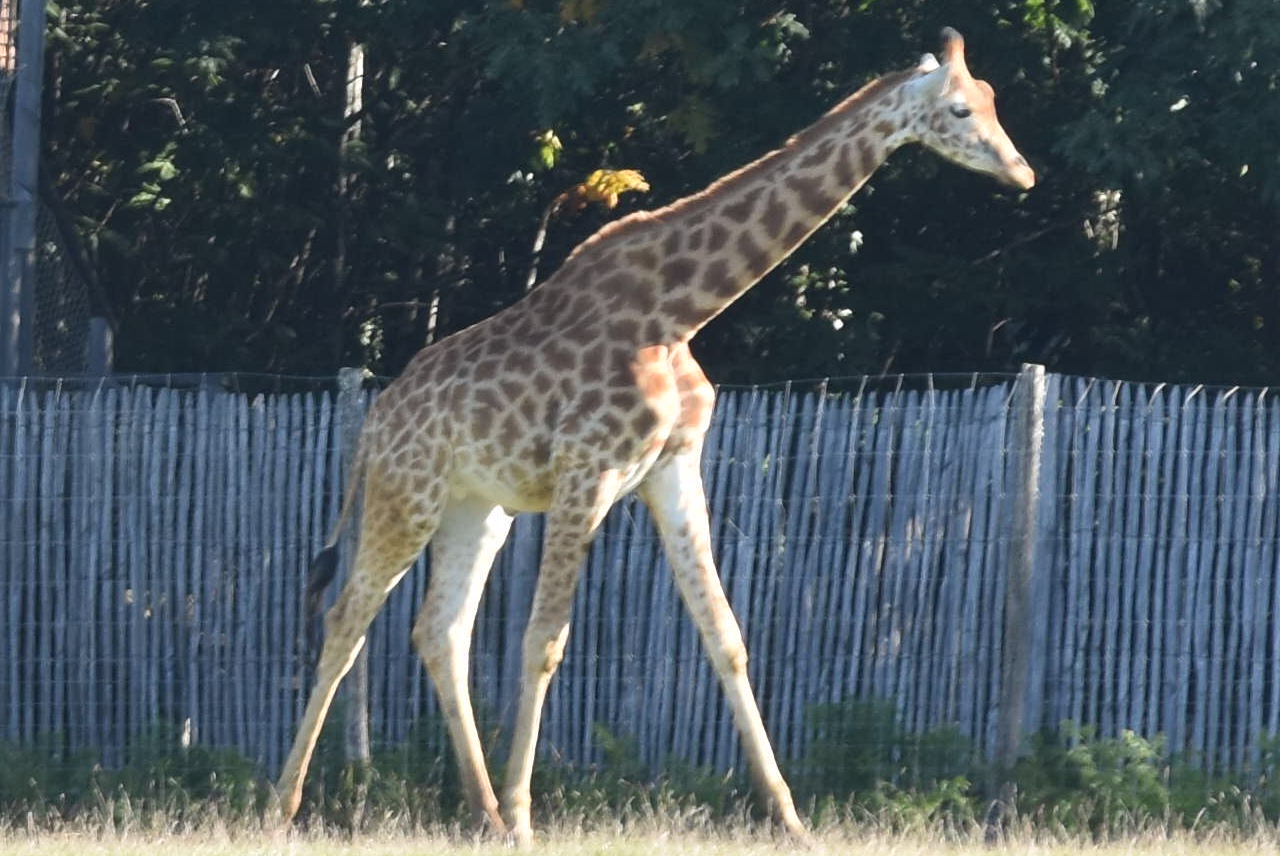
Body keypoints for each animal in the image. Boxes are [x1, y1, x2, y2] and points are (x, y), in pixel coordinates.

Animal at [275, 27, 1034, 844]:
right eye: (960, 110)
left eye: (993, 100)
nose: (1021, 171)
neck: (680, 310)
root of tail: (374, 424)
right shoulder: (588, 471)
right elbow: (544, 643)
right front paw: (527, 817)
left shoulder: (672, 469)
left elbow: (726, 635)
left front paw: (791, 818)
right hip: (407, 496)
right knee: (347, 618)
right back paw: (288, 803)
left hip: (478, 509)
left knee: (439, 631)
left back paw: (480, 812)